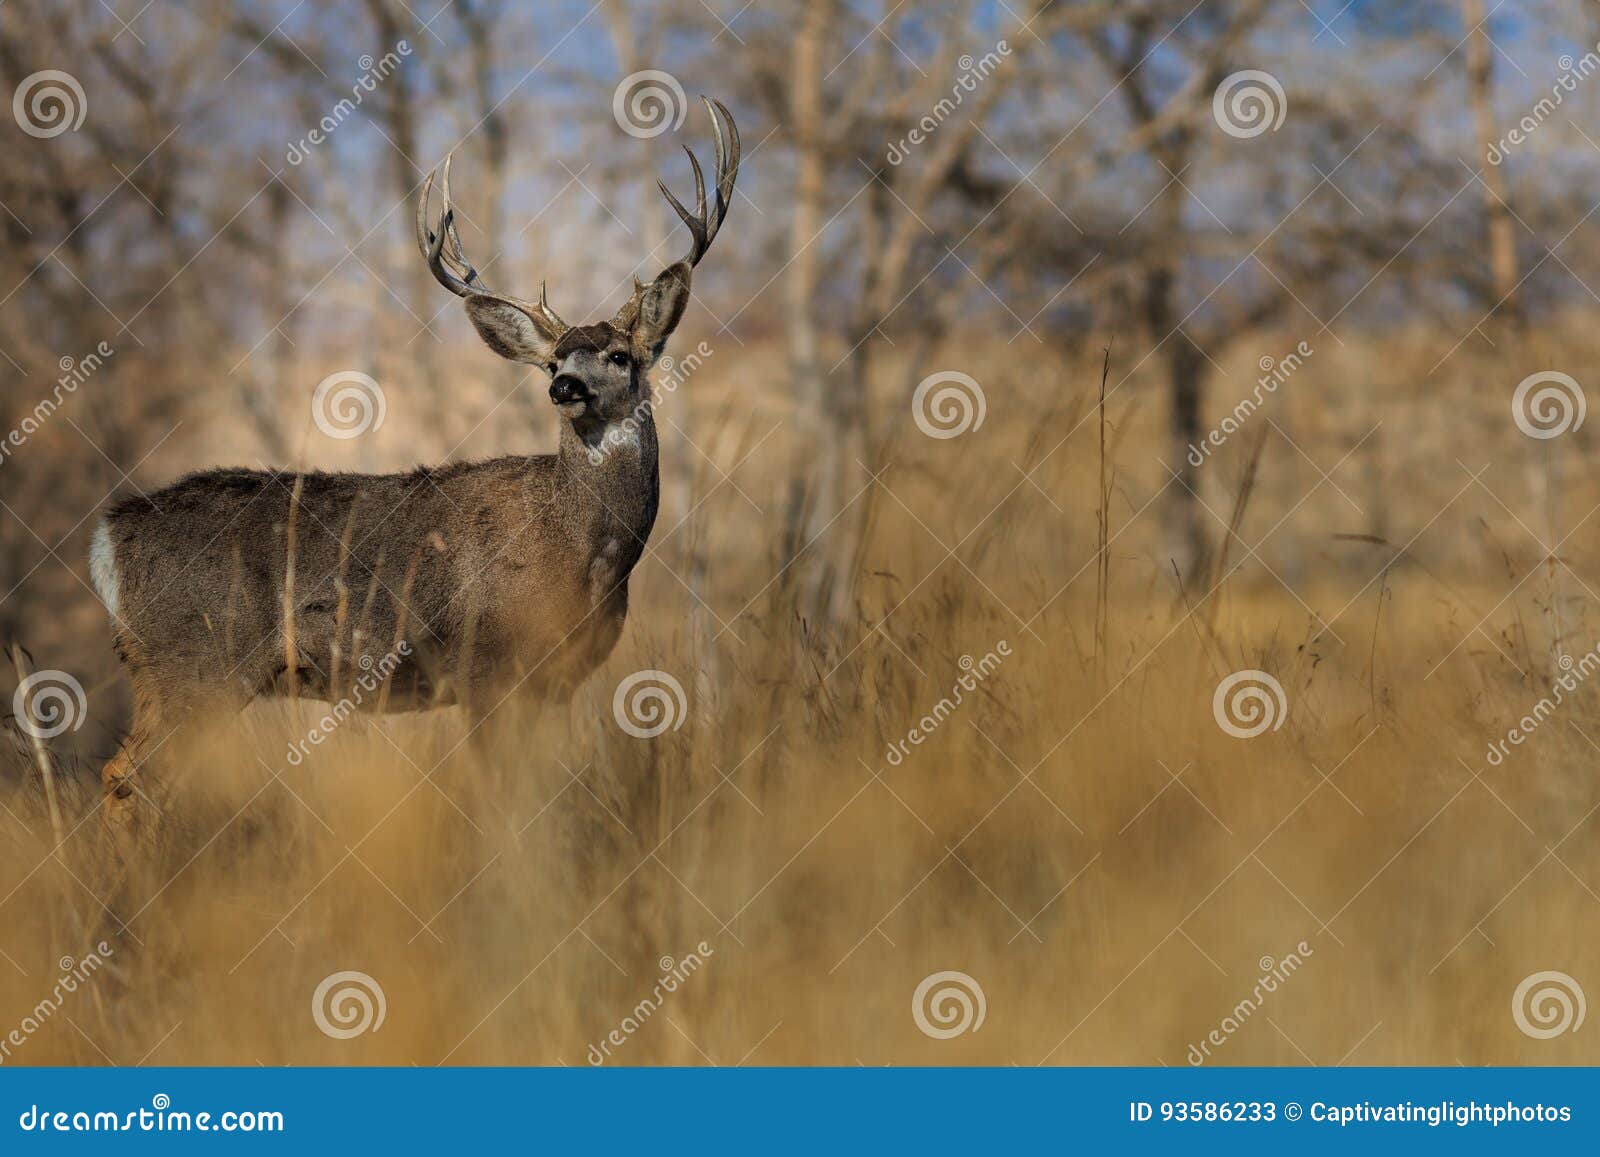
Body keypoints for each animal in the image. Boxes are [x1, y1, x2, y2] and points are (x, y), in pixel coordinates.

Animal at [89, 98, 739, 839]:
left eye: (620, 355)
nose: (565, 386)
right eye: (553, 359)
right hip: (193, 666)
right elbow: (502, 801)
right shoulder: (489, 668)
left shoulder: (556, 680)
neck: (586, 551)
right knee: (125, 776)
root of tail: (107, 538)